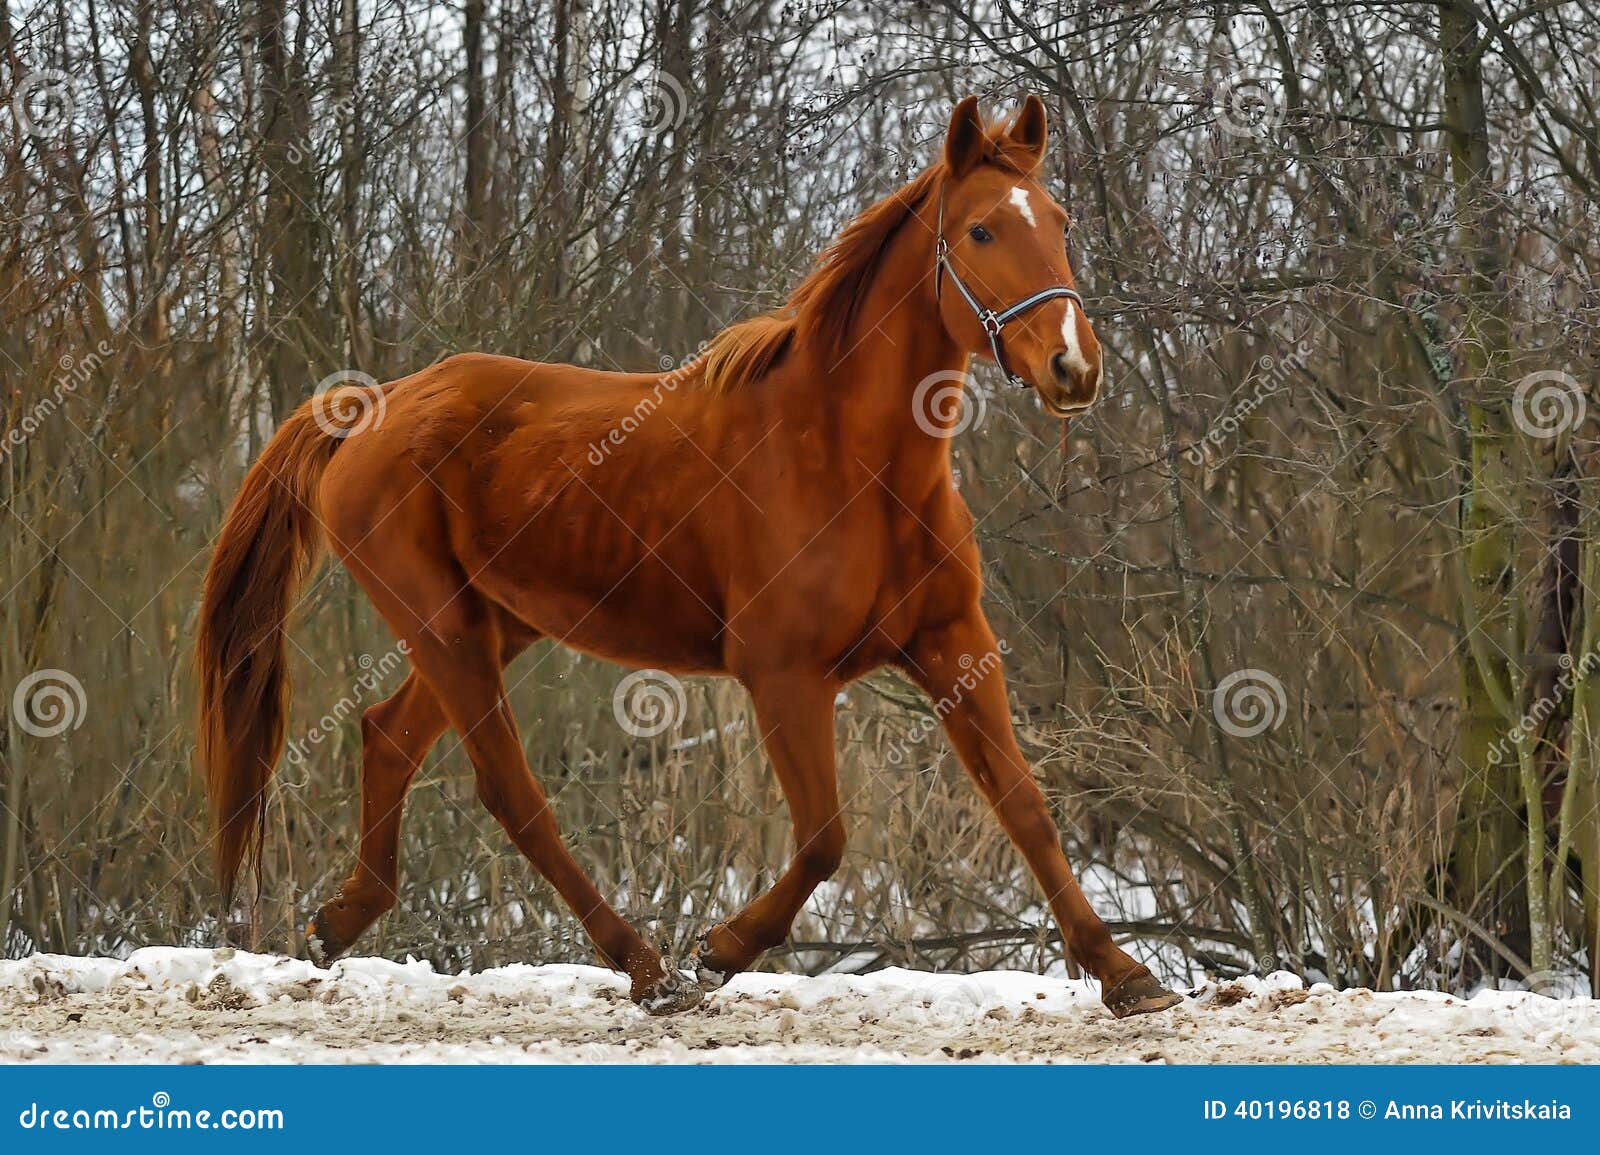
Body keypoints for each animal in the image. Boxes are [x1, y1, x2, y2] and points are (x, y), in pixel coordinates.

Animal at [197, 94, 1182, 1019]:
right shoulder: (785, 675)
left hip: (491, 624)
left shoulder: (954, 646)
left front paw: (1127, 975)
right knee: (512, 793)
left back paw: (339, 921)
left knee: (388, 734)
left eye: (1058, 221)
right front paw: (721, 950)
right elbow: (825, 837)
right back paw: (648, 968)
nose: (1073, 367)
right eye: (981, 229)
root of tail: (375, 404)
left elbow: (1027, 808)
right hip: (445, 628)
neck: (852, 465)